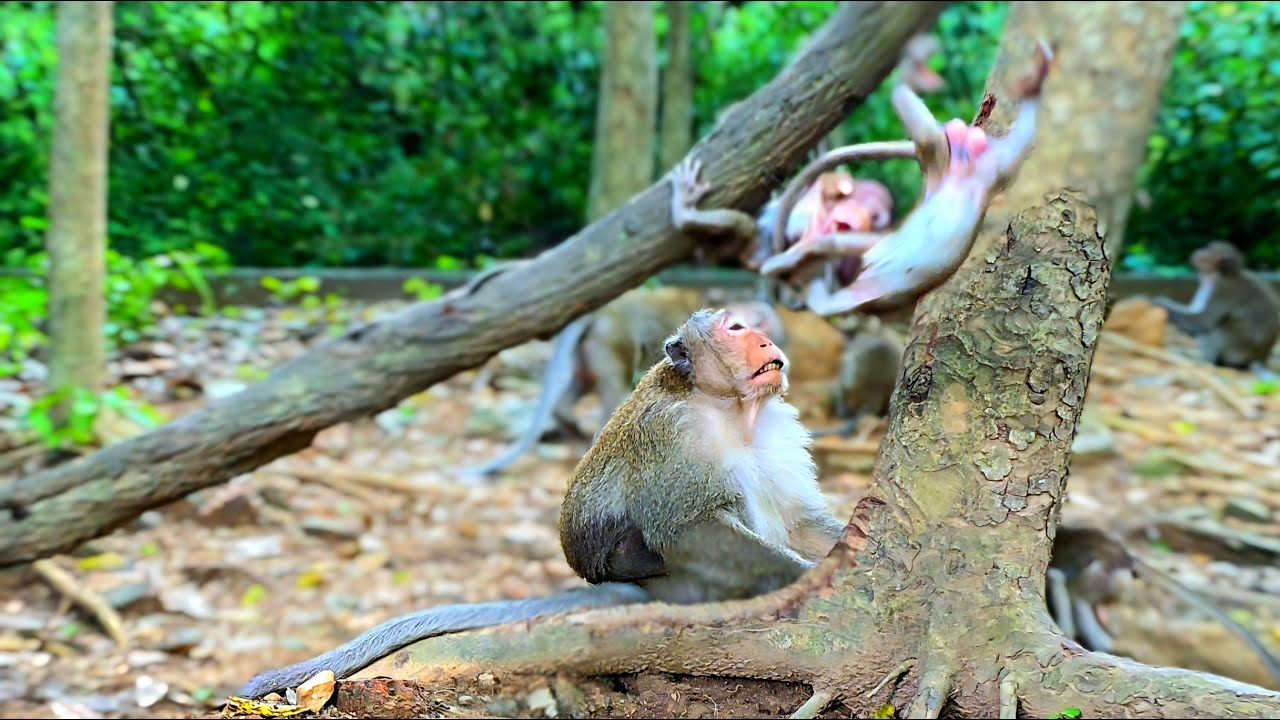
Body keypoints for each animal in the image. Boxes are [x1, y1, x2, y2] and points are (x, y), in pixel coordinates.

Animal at [240, 309, 844, 697]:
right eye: (735, 328)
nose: (764, 340)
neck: (728, 408)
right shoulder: (674, 435)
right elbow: (688, 528)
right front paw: (803, 578)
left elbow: (800, 520)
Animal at [760, 40, 1054, 317]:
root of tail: (966, 161)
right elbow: (830, 255)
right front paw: (791, 262)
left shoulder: (866, 290)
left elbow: (827, 297)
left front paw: (791, 271)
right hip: (965, 167)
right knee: (928, 130)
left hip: (990, 170)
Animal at [1150, 240, 1280, 373]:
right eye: (1207, 247)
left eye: (1208, 252)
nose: (1199, 251)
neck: (1222, 275)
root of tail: (1261, 358)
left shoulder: (1222, 292)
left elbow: (1201, 321)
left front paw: (1159, 302)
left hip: (1238, 346)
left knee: (1222, 327)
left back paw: (1202, 360)